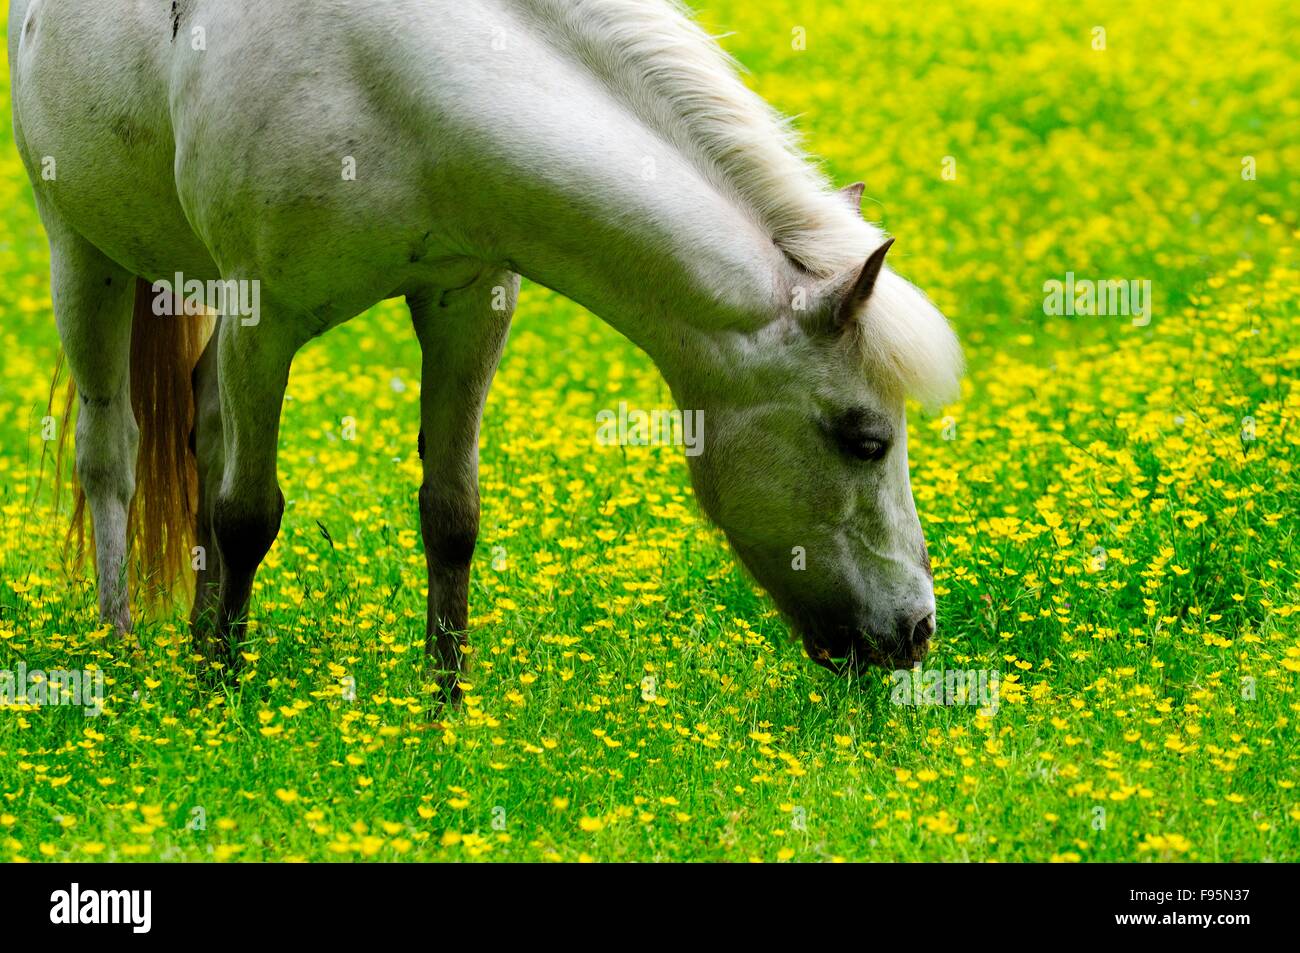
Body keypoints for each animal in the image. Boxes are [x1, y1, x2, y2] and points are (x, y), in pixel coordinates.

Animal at [9, 0, 962, 700]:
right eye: (865, 439)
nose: (916, 631)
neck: (386, 77)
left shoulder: (469, 303)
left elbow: (451, 515)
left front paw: (446, 709)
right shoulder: (263, 319)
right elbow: (248, 515)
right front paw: (226, 705)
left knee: (201, 445)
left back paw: (199, 643)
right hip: (82, 258)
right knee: (113, 458)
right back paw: (126, 653)